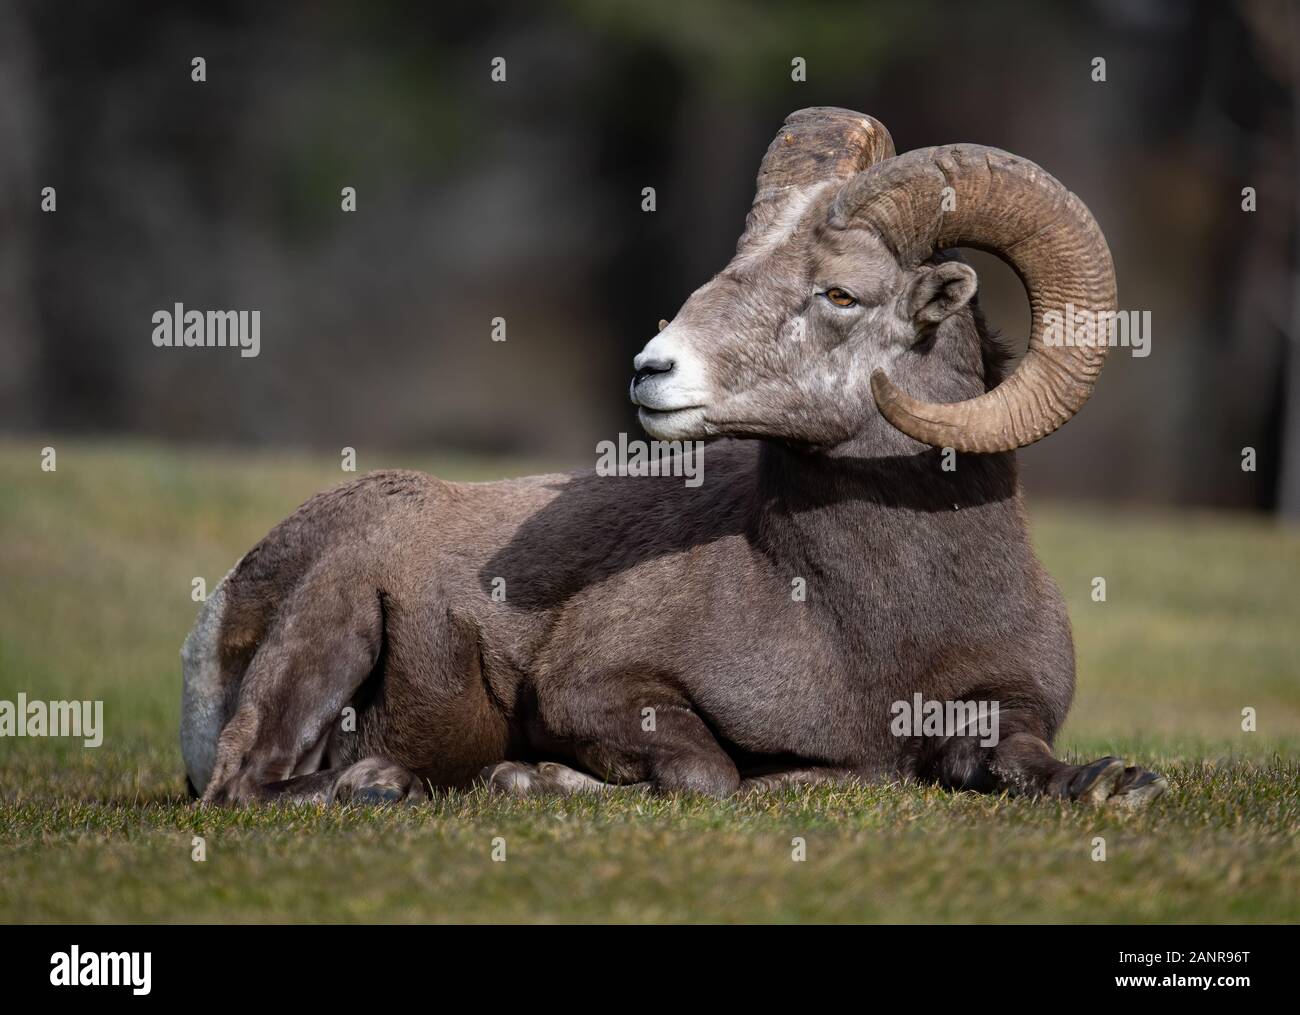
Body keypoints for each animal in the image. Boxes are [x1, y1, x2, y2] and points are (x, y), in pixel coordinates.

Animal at [183, 107, 1167, 808]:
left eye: (840, 294)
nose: (652, 369)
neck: (872, 630)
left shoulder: (1012, 704)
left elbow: (1025, 761)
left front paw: (1115, 783)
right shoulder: (594, 687)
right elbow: (714, 775)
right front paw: (532, 780)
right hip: (336, 618)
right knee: (245, 782)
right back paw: (380, 784)